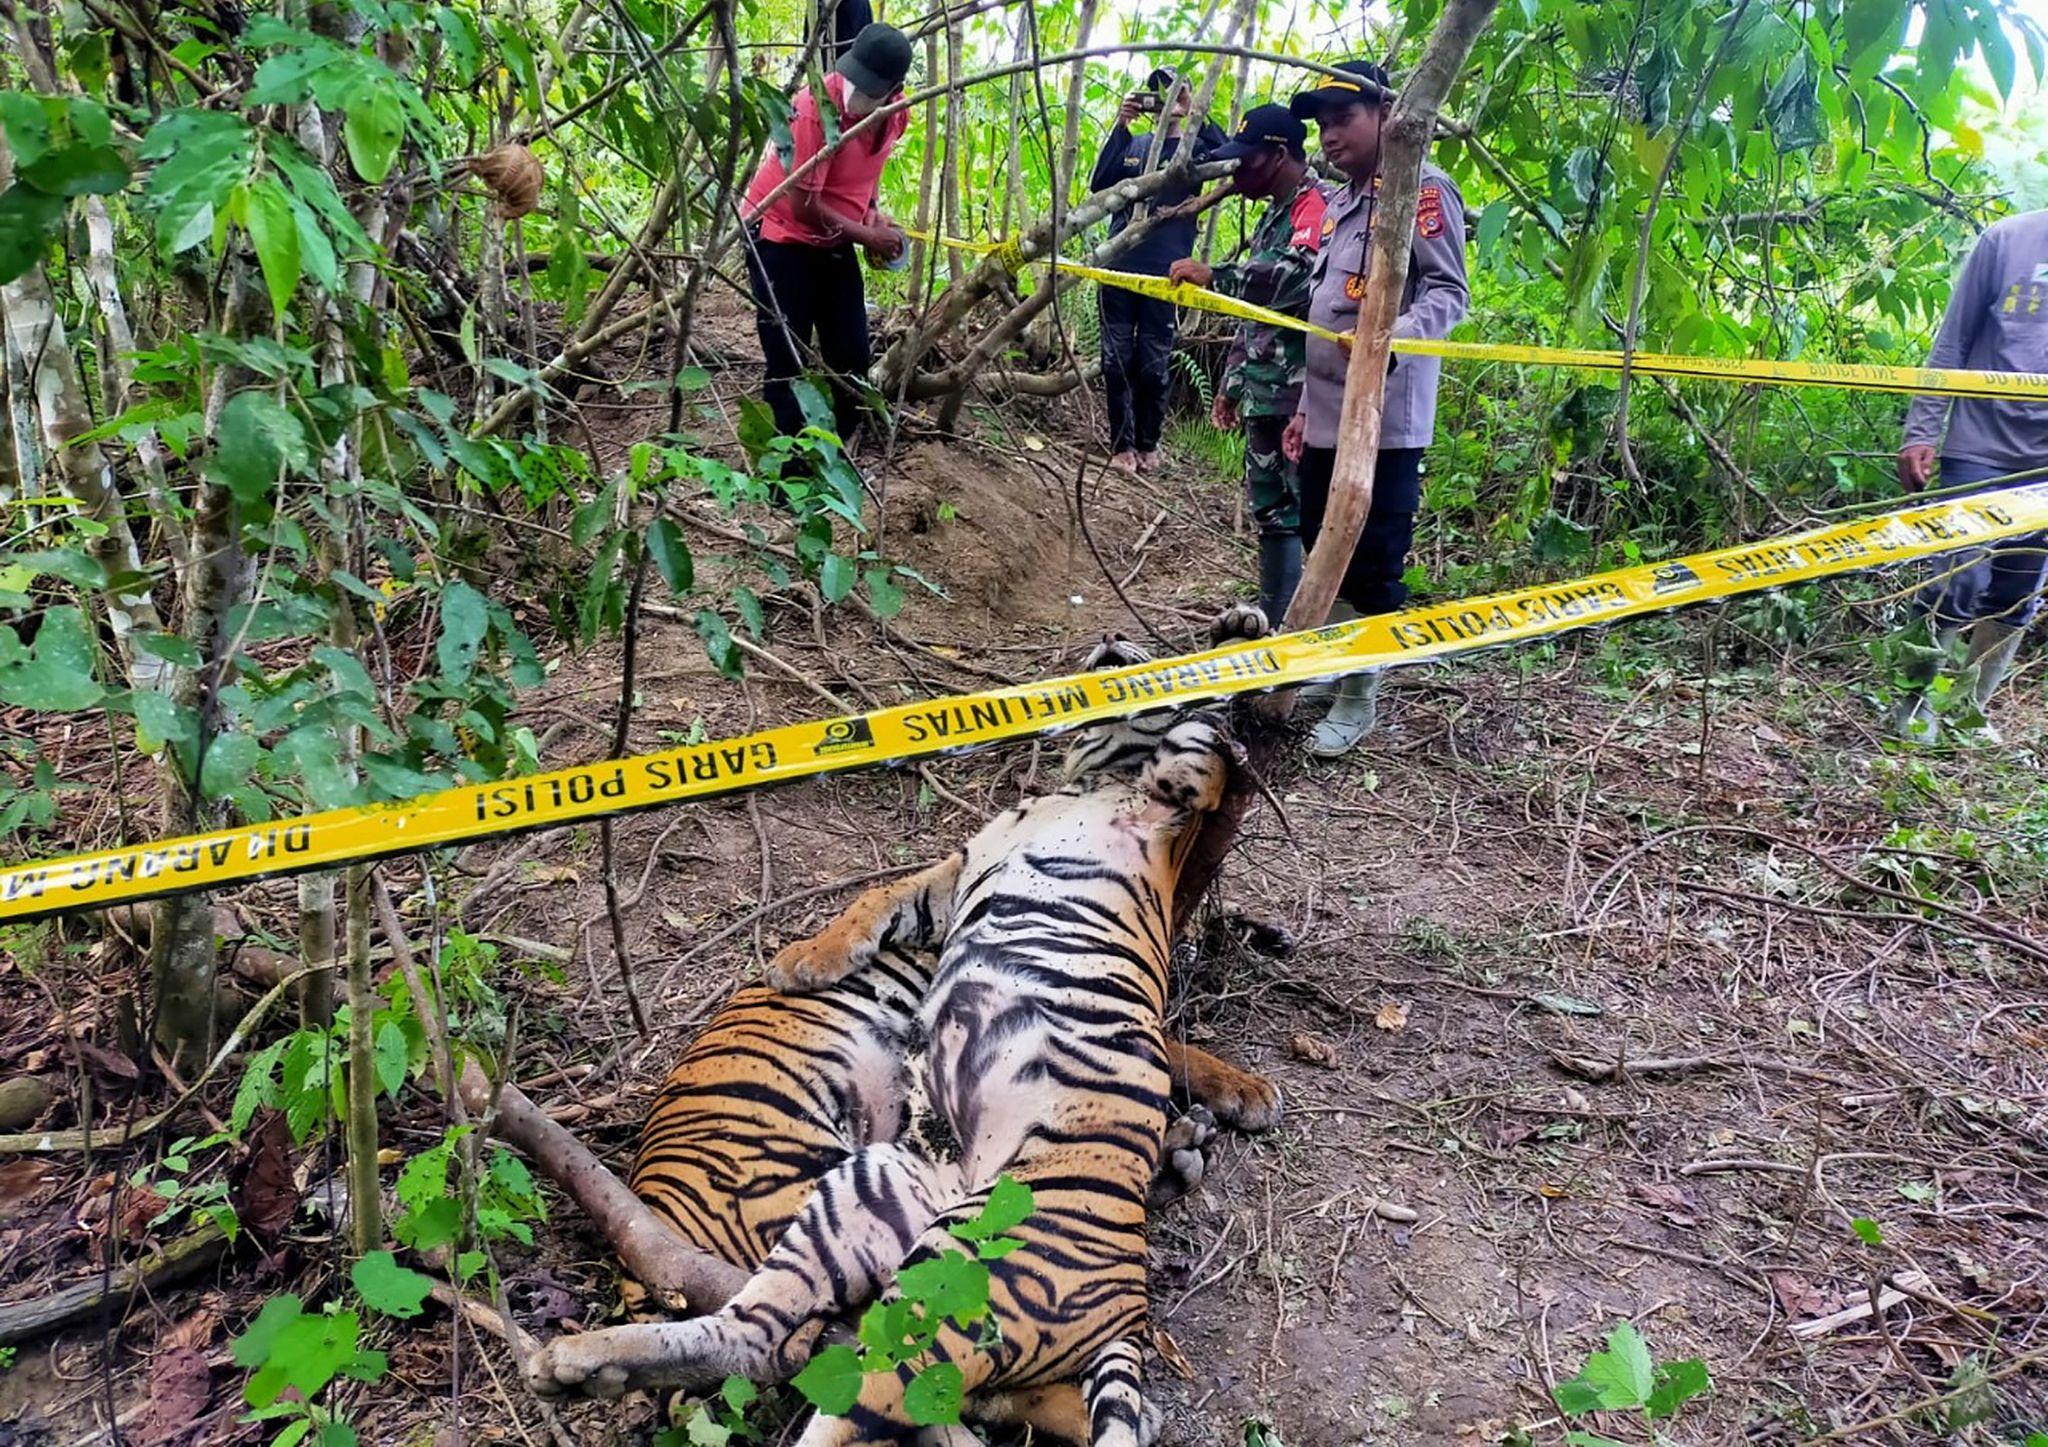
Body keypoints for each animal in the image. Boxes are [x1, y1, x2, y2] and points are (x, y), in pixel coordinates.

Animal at [530, 605, 1278, 1443]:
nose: (1115, 642)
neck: (1094, 780)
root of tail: (1129, 1301)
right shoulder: (958, 871)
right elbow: (876, 900)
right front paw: (800, 961)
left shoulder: (1154, 831)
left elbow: (1199, 747)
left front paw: (1238, 643)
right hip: (878, 1203)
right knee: (808, 1353)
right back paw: (579, 1363)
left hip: (922, 1237)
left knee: (844, 1372)